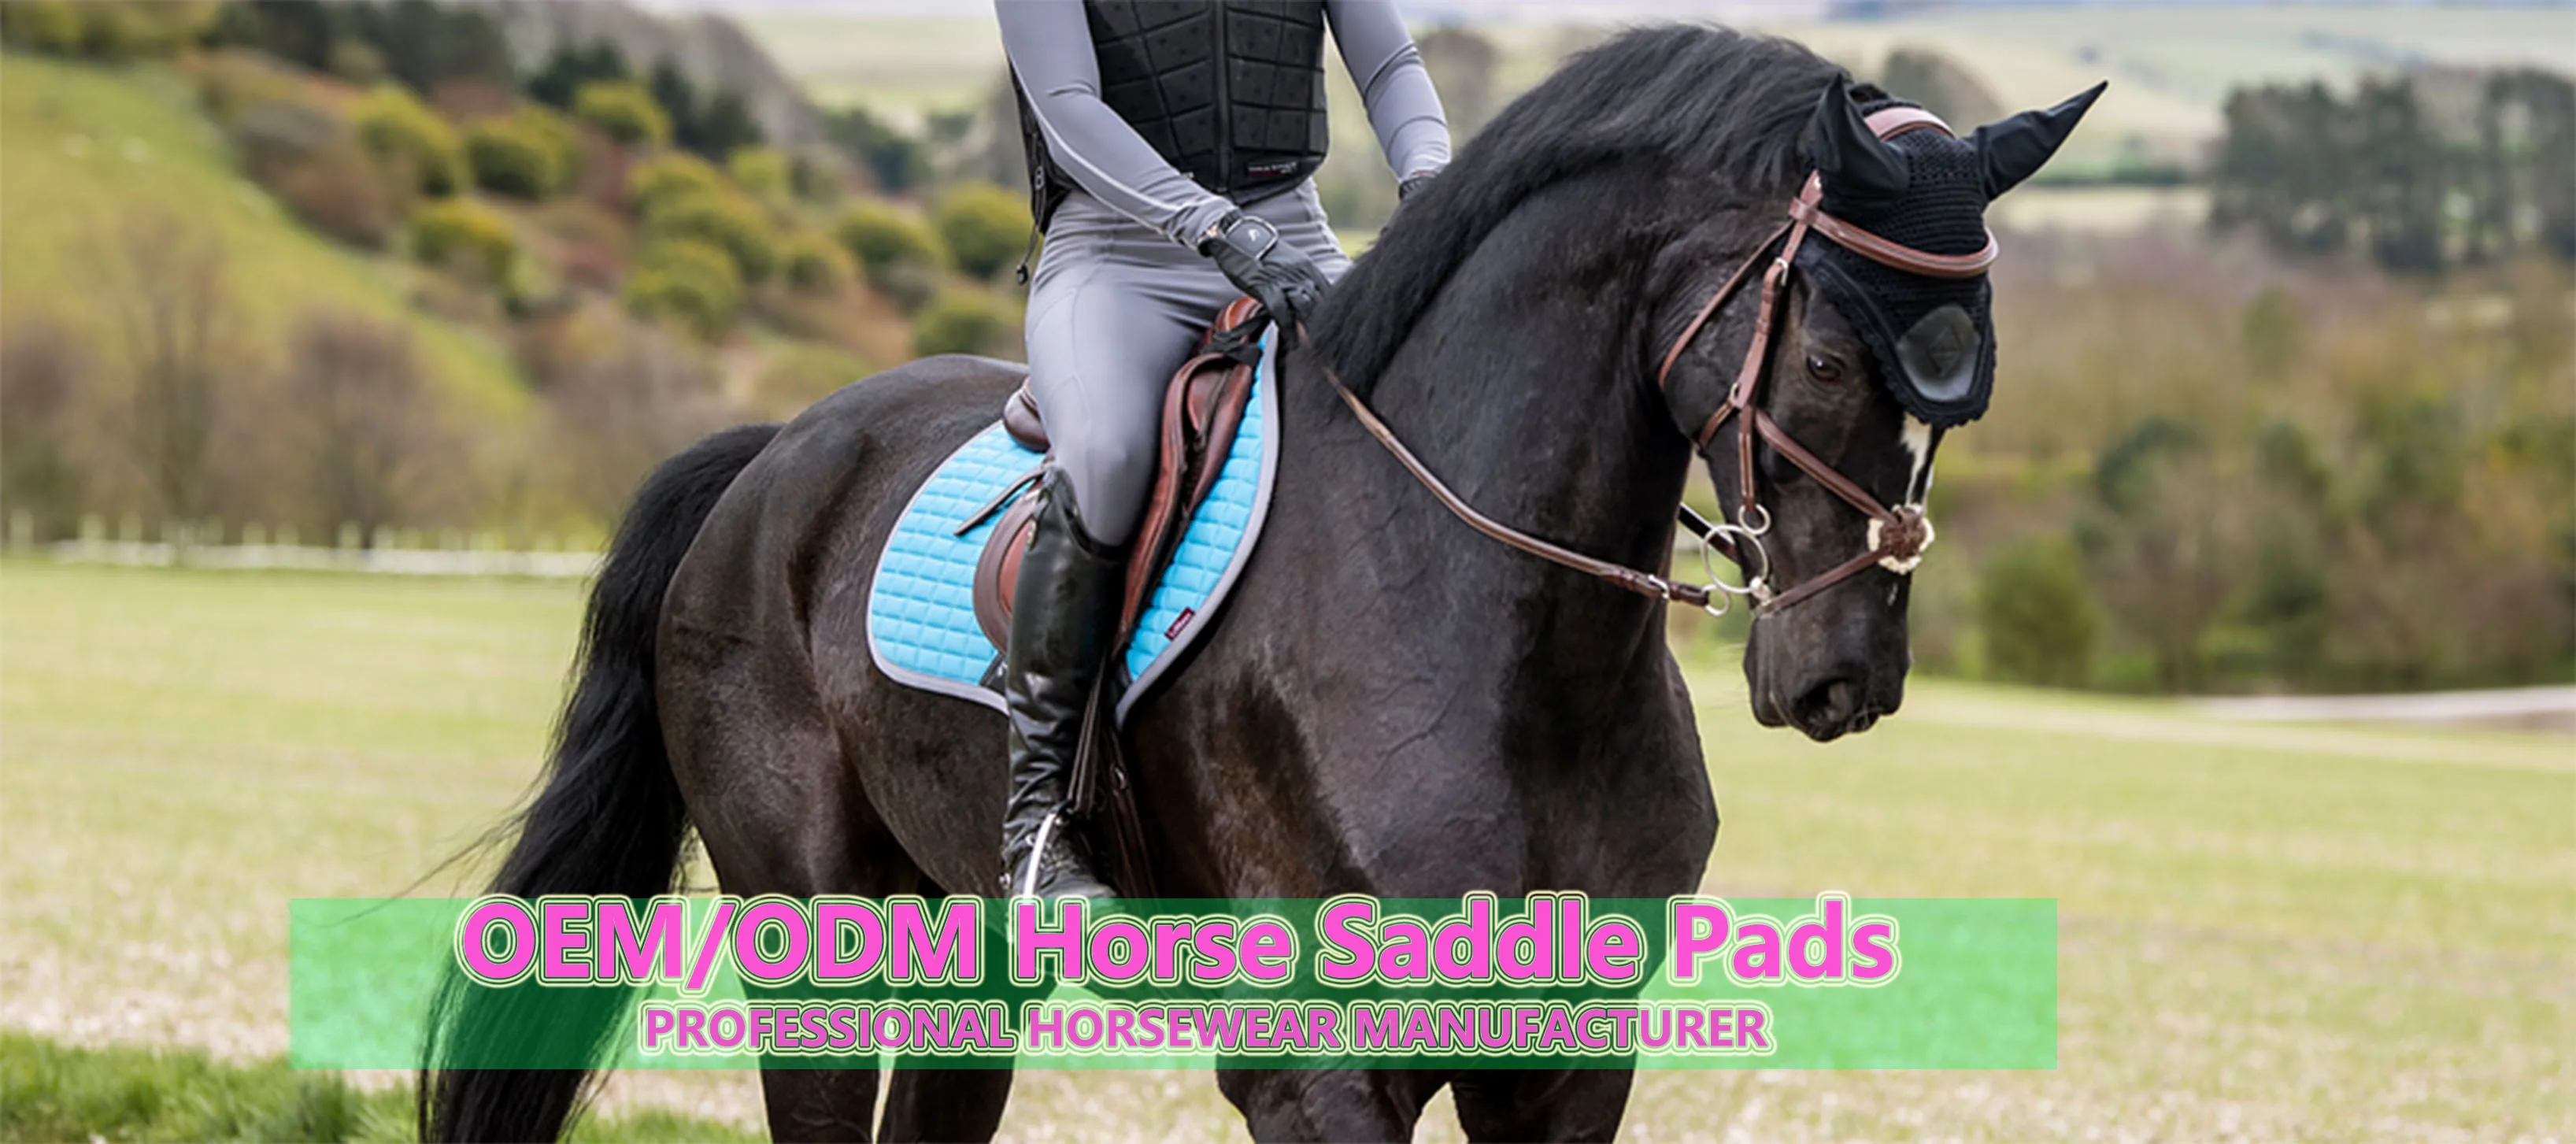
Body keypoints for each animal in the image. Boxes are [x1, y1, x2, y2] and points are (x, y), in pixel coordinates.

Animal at [422, 25, 2092, 1143]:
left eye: (1967, 391)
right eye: (1824, 363)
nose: (1838, 678)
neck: (1499, 635)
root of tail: (773, 456)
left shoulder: (1564, 1057)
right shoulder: (1324, 1067)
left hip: (969, 954)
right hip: (812, 930)